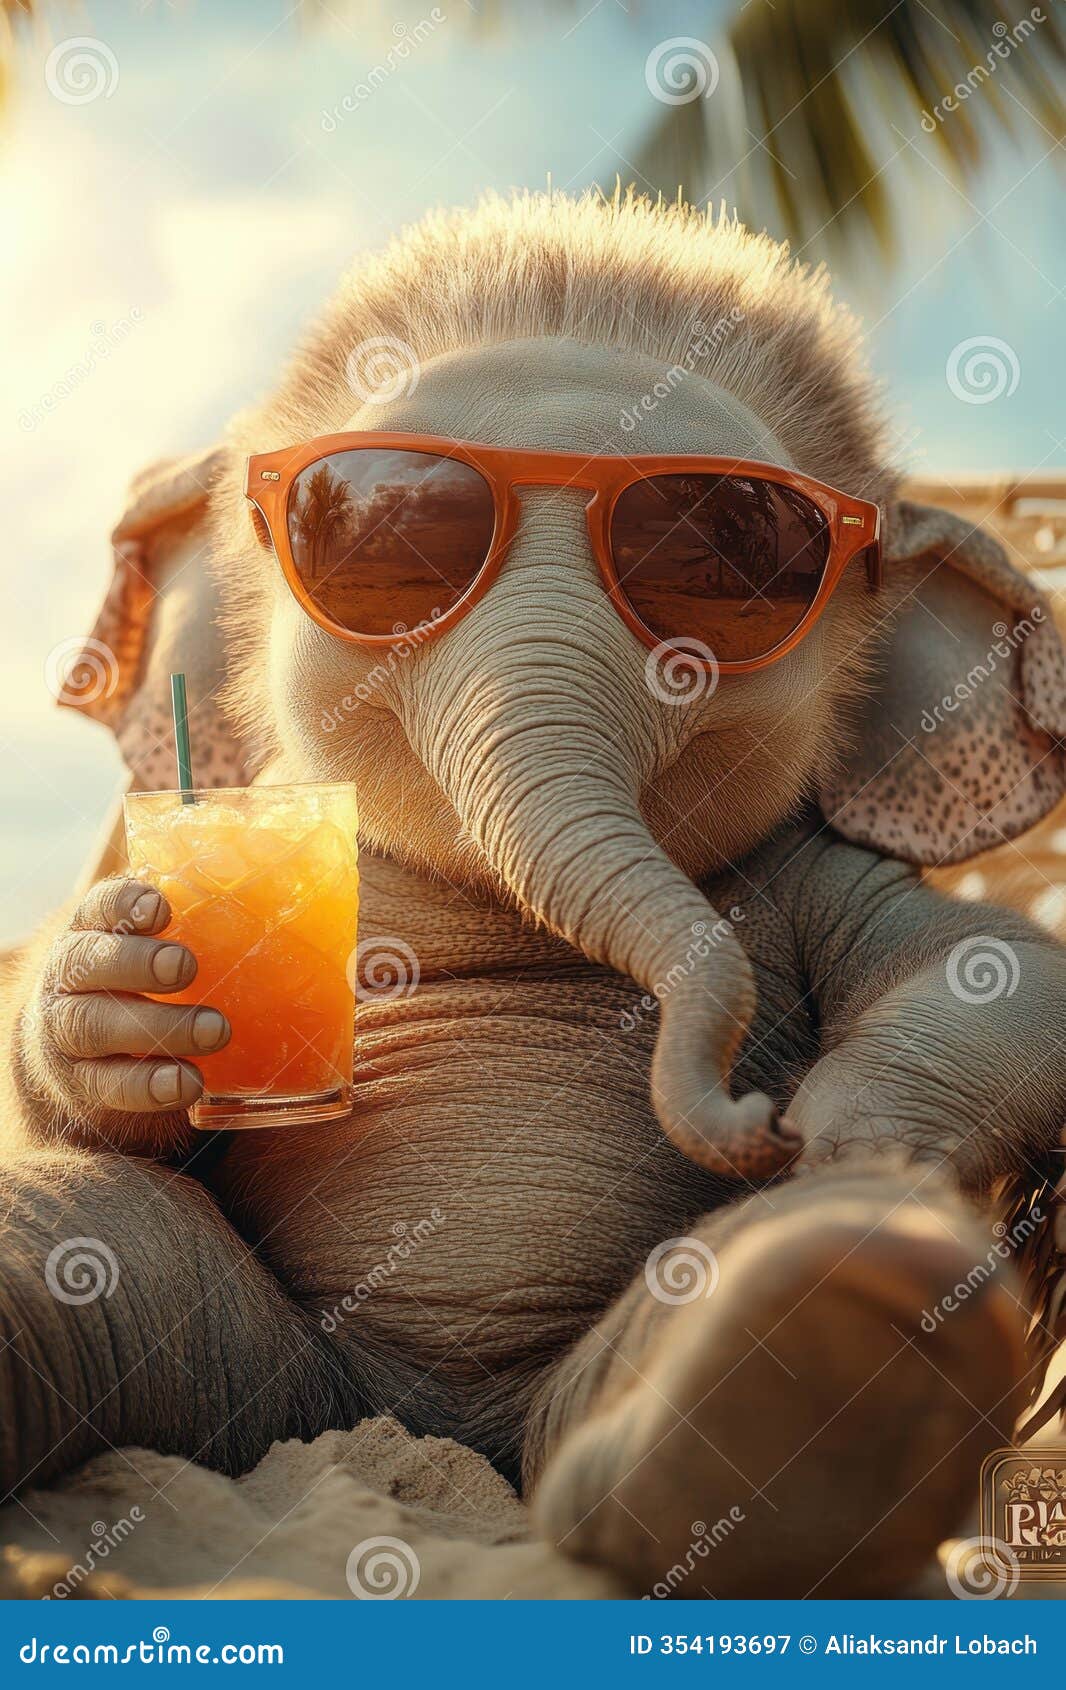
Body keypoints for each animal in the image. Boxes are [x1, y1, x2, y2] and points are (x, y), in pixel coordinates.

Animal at [4, 190, 1066, 1598]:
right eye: (380, 529)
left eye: (732, 551)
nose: (750, 1115)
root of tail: (432, 1437)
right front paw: (121, 998)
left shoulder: (822, 871)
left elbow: (999, 965)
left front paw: (842, 1143)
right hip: (255, 1372)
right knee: (84, 1234)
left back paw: (828, 1341)